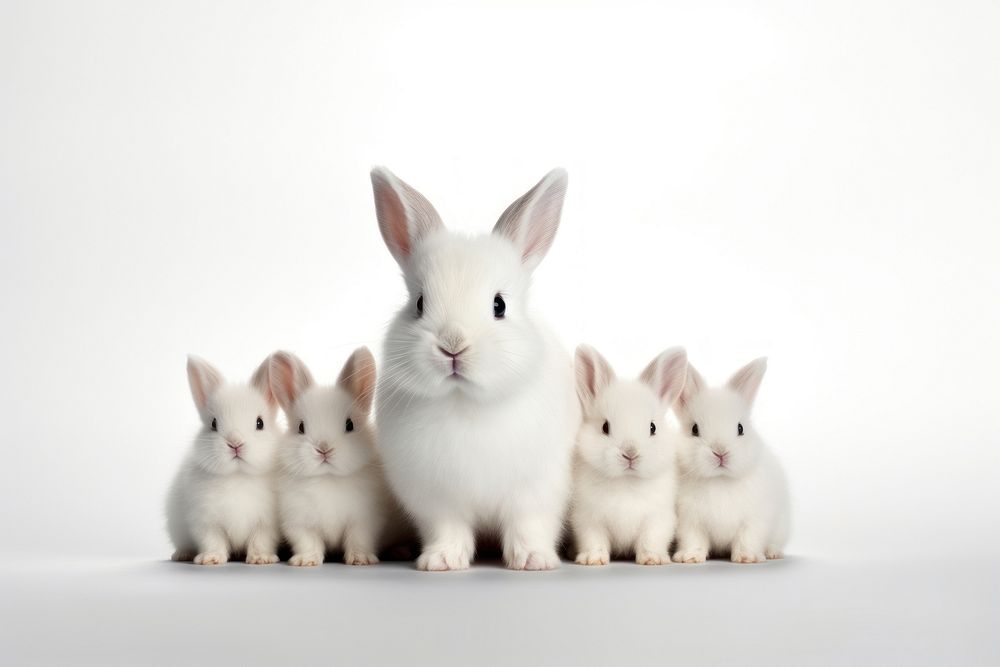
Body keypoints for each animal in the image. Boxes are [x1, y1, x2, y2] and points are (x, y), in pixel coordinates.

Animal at [166, 356, 281, 565]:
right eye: (213, 423)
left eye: (259, 423)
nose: (235, 443)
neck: (238, 475)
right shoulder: (206, 522)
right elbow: (213, 540)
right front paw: (210, 559)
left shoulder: (266, 524)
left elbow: (260, 540)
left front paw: (261, 559)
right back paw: (182, 554)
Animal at [269, 348, 407, 566]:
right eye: (300, 427)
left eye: (349, 425)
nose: (324, 449)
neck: (328, 478)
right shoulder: (299, 523)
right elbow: (308, 542)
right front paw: (306, 561)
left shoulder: (364, 521)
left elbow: (358, 540)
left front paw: (360, 559)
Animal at [370, 167, 580, 571]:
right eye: (419, 304)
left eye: (499, 305)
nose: (453, 344)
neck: (464, 401)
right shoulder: (436, 499)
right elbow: (448, 529)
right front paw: (441, 560)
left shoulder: (534, 490)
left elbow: (528, 525)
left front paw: (533, 560)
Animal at [570, 345, 687, 566]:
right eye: (605, 427)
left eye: (652, 427)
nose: (630, 453)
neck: (626, 481)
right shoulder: (588, 519)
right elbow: (594, 540)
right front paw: (593, 559)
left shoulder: (658, 519)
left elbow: (651, 539)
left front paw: (652, 559)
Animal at [671, 358, 790, 564]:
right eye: (694, 429)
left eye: (740, 428)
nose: (720, 452)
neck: (720, 480)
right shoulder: (690, 521)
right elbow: (694, 540)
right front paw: (690, 557)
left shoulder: (755, 519)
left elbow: (748, 538)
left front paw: (747, 557)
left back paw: (772, 553)